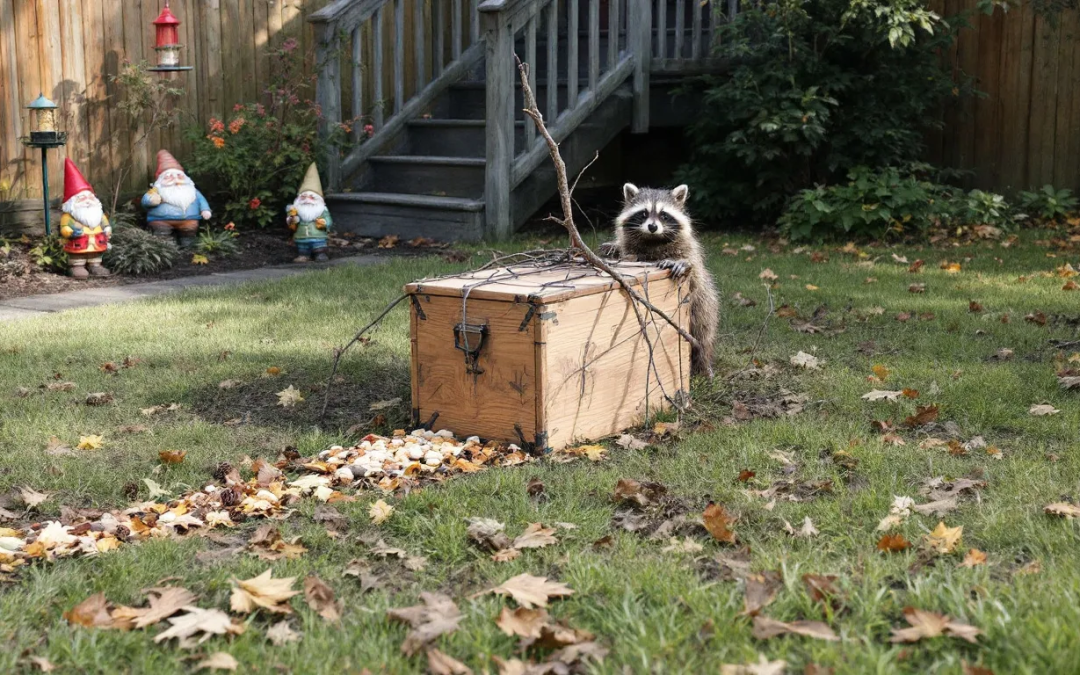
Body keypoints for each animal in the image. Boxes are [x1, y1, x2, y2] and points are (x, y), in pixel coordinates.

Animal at [601, 183, 719, 378]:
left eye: (664, 215)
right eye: (643, 213)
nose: (652, 226)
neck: (653, 240)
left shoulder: (690, 252)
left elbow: (694, 278)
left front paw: (681, 263)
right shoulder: (630, 249)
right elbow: (624, 250)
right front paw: (614, 245)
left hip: (705, 306)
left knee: (703, 329)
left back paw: (703, 363)